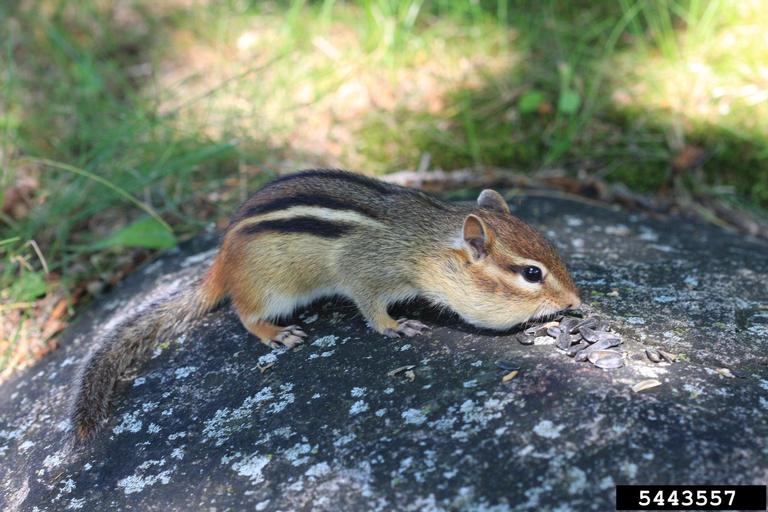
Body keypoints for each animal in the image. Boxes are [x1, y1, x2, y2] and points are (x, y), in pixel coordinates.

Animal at [71, 169, 581, 443]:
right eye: (531, 274)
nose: (576, 301)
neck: (427, 243)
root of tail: (221, 259)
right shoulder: (365, 274)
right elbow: (369, 305)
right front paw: (395, 325)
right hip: (271, 287)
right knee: (243, 312)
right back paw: (275, 332)